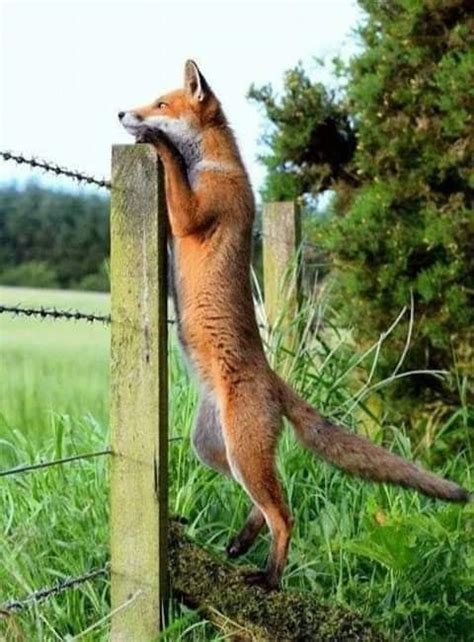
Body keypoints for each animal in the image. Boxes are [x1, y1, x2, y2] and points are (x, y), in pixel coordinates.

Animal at [119, 60, 470, 590]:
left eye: (160, 104)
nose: (122, 113)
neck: (214, 164)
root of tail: (273, 377)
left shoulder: (196, 215)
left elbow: (176, 176)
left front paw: (157, 143)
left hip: (242, 450)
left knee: (284, 515)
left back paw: (270, 577)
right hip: (215, 448)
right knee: (265, 504)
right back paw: (244, 543)